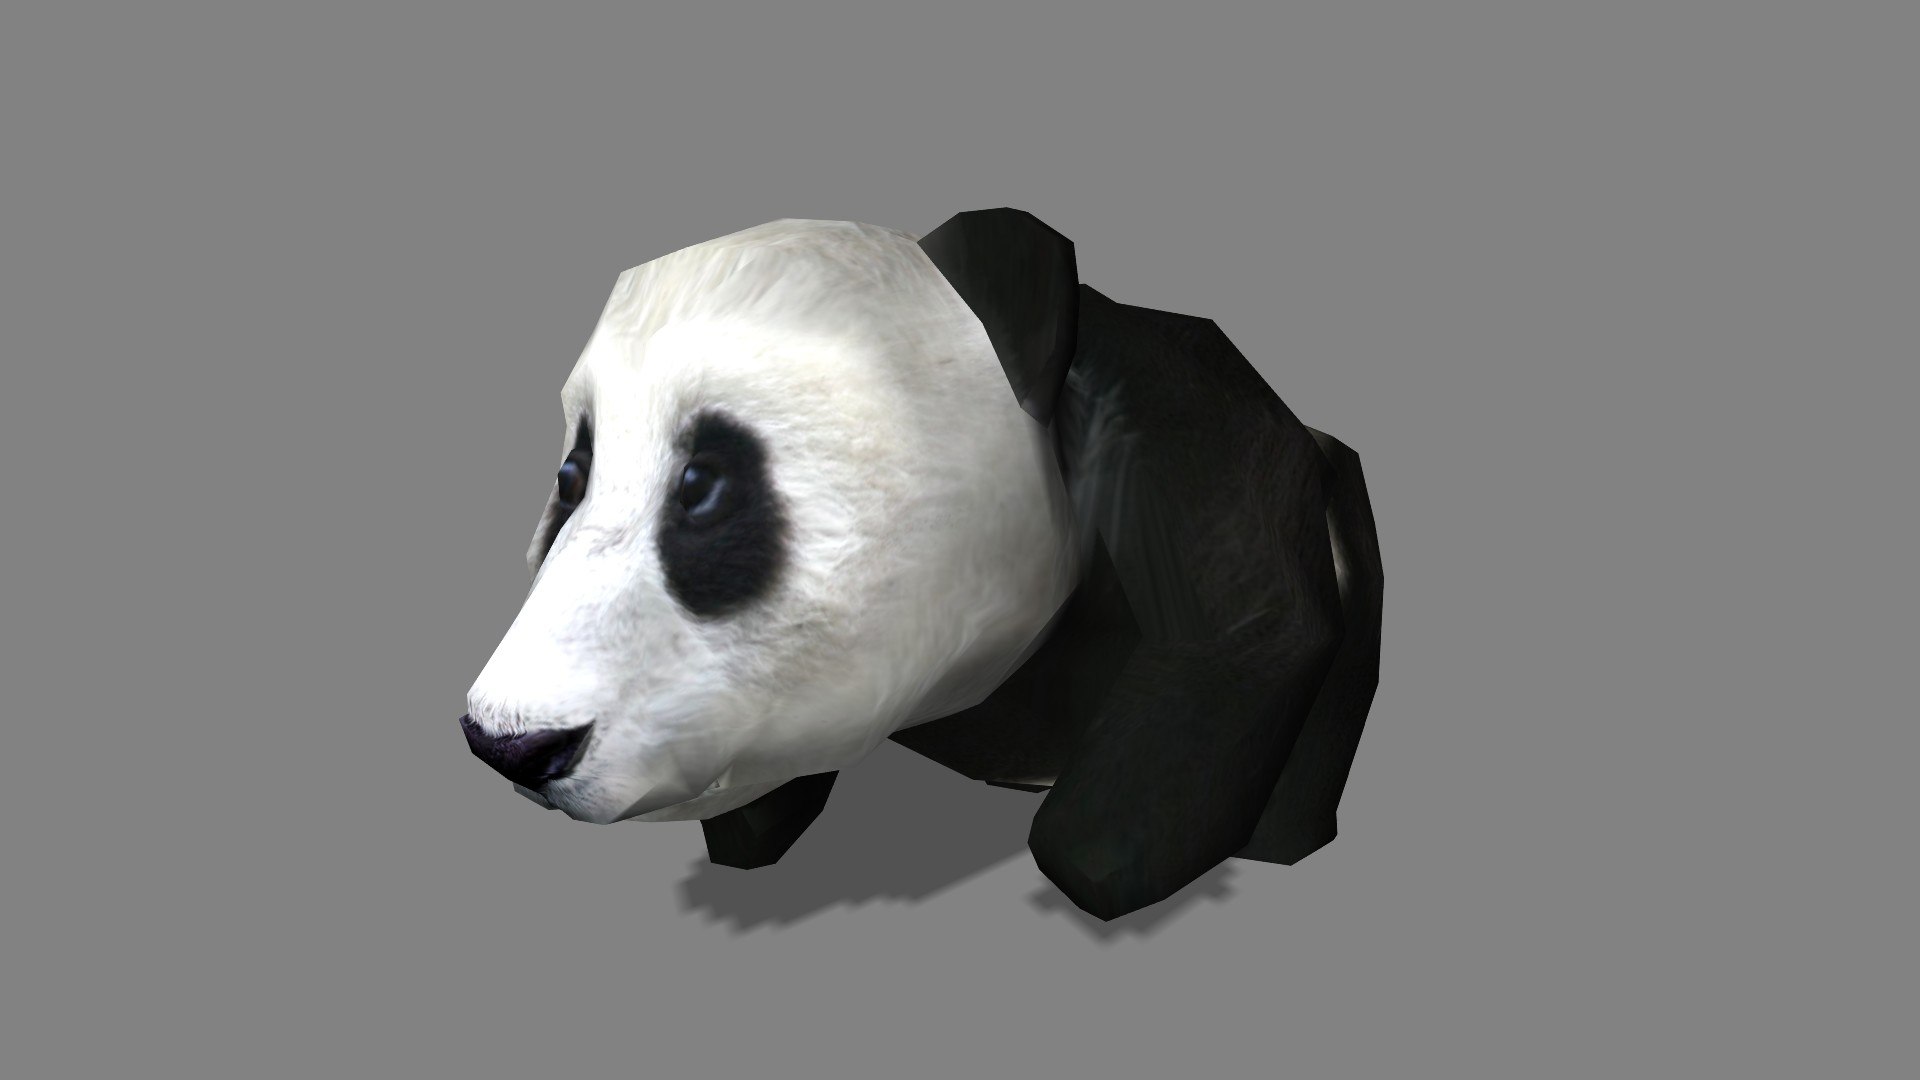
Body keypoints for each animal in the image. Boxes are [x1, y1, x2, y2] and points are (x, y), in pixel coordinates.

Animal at [461, 209, 1383, 922]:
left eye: (703, 485)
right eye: (569, 479)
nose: (513, 745)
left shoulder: (1176, 436)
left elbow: (1249, 632)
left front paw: (1100, 856)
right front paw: (754, 830)